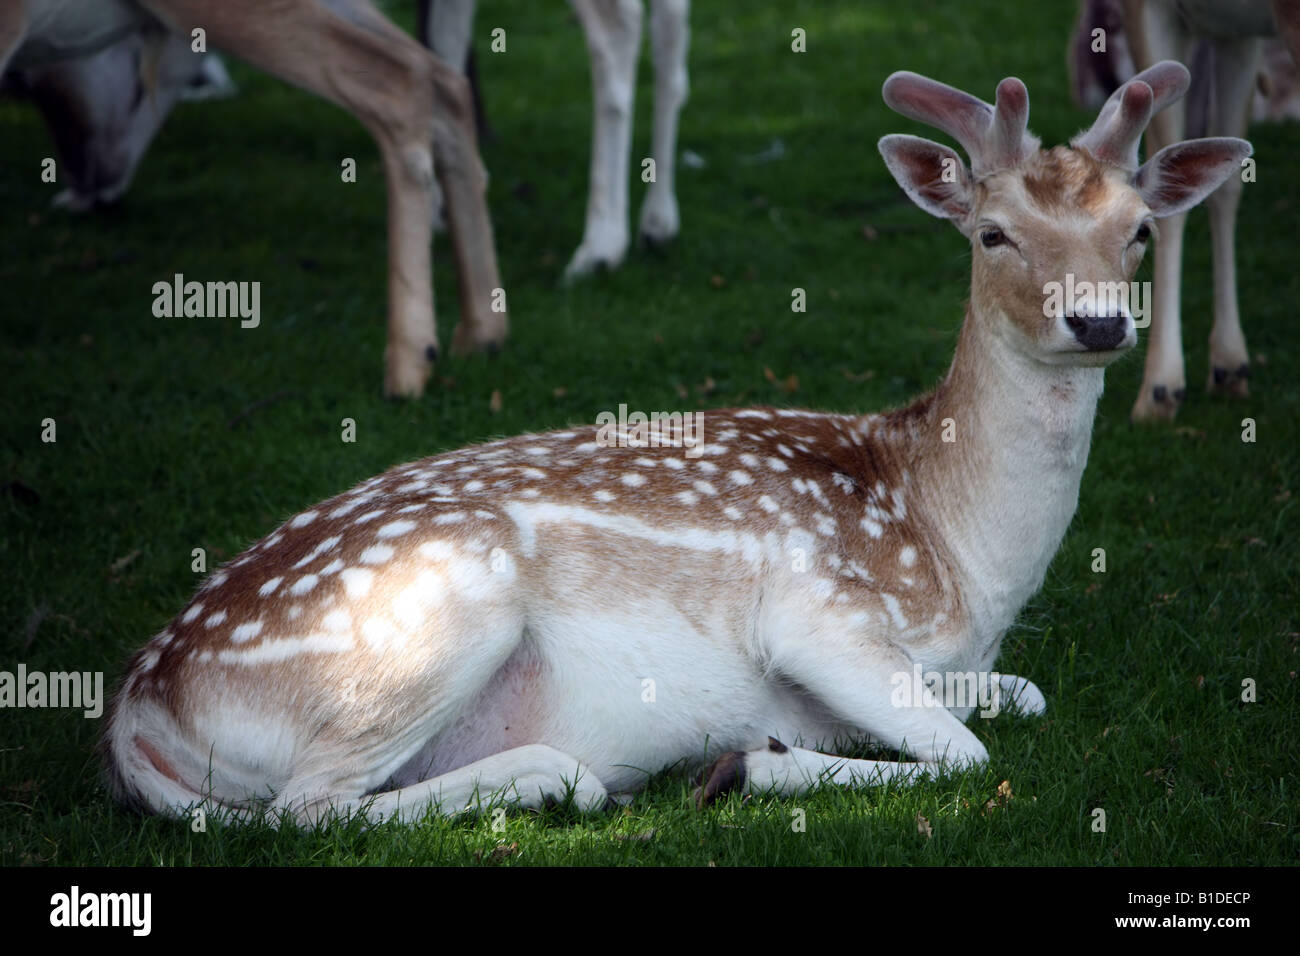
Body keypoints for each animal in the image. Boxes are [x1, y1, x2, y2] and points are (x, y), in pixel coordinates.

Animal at [0, 0, 507, 397]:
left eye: (32, 85)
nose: (83, 184)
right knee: (443, 80)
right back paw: (480, 334)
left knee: (399, 79)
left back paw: (408, 367)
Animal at [101, 64, 1249, 826]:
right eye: (991, 232)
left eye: (1139, 230)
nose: (1097, 324)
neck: (959, 561)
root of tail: (134, 708)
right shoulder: (816, 605)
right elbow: (964, 755)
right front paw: (749, 763)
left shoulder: (955, 660)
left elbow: (1025, 694)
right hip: (439, 611)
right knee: (310, 802)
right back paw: (565, 773)